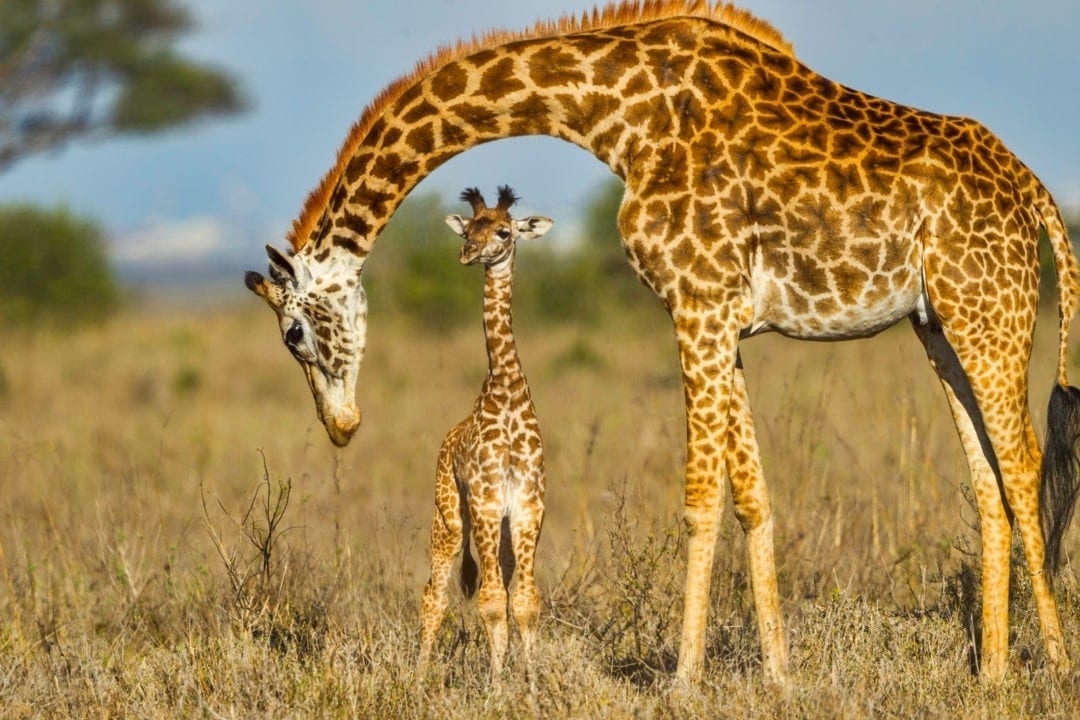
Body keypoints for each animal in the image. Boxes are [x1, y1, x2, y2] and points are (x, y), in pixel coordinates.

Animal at [418, 185, 553, 681]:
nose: (467, 253)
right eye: (468, 230)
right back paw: (417, 678)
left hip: (503, 532)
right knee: (433, 595)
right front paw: (495, 684)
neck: (507, 394)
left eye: (503, 231)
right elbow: (493, 603)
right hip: (450, 518)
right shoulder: (487, 502)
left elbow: (525, 602)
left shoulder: (528, 506)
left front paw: (531, 682)